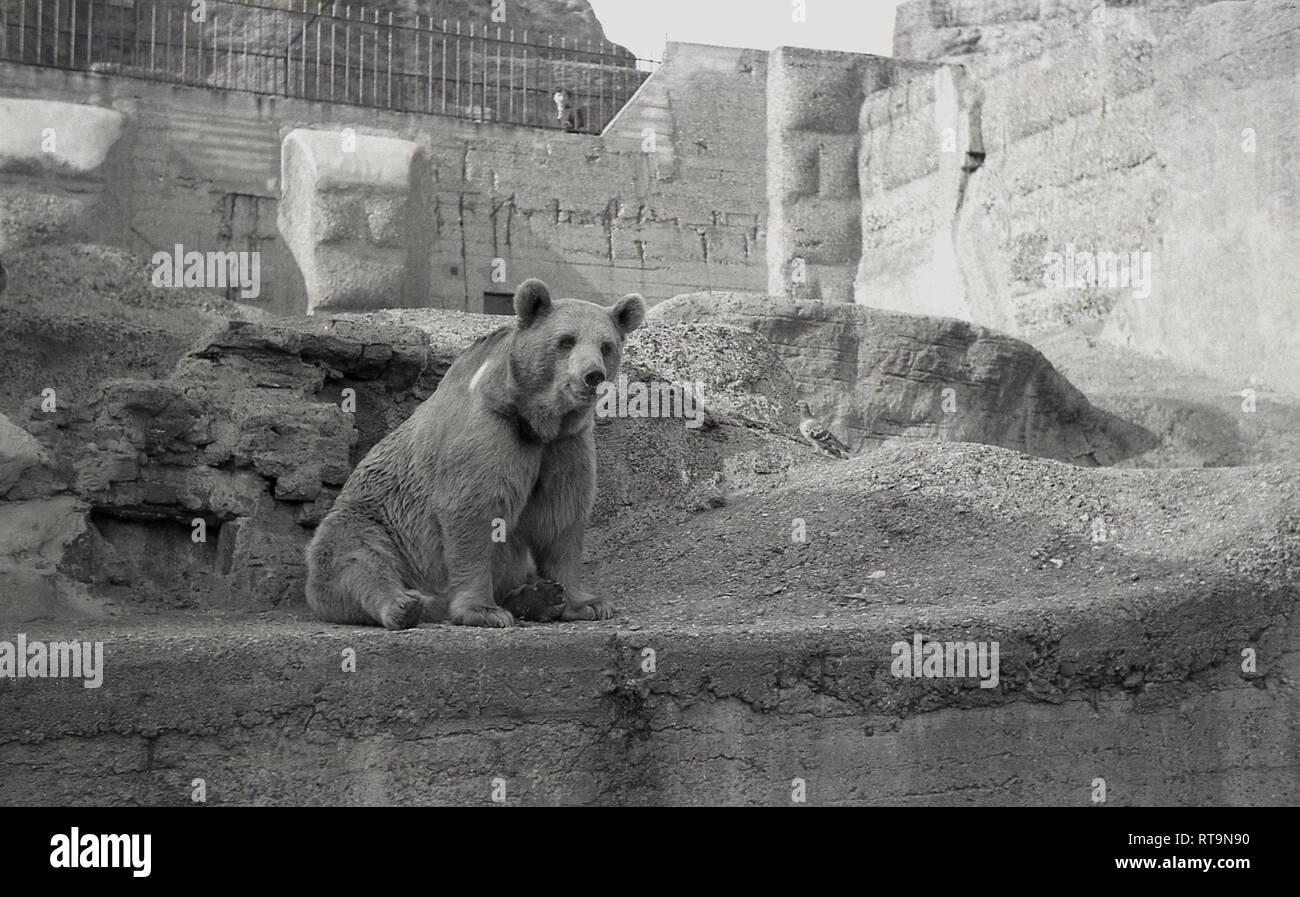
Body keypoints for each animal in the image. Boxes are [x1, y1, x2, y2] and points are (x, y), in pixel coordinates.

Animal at [304, 279, 646, 629]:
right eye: (566, 340)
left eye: (606, 345)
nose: (593, 376)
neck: (534, 422)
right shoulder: (490, 431)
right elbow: (475, 513)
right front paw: (482, 610)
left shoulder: (564, 445)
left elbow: (561, 515)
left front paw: (587, 602)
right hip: (377, 520)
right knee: (355, 558)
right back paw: (404, 605)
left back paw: (538, 596)